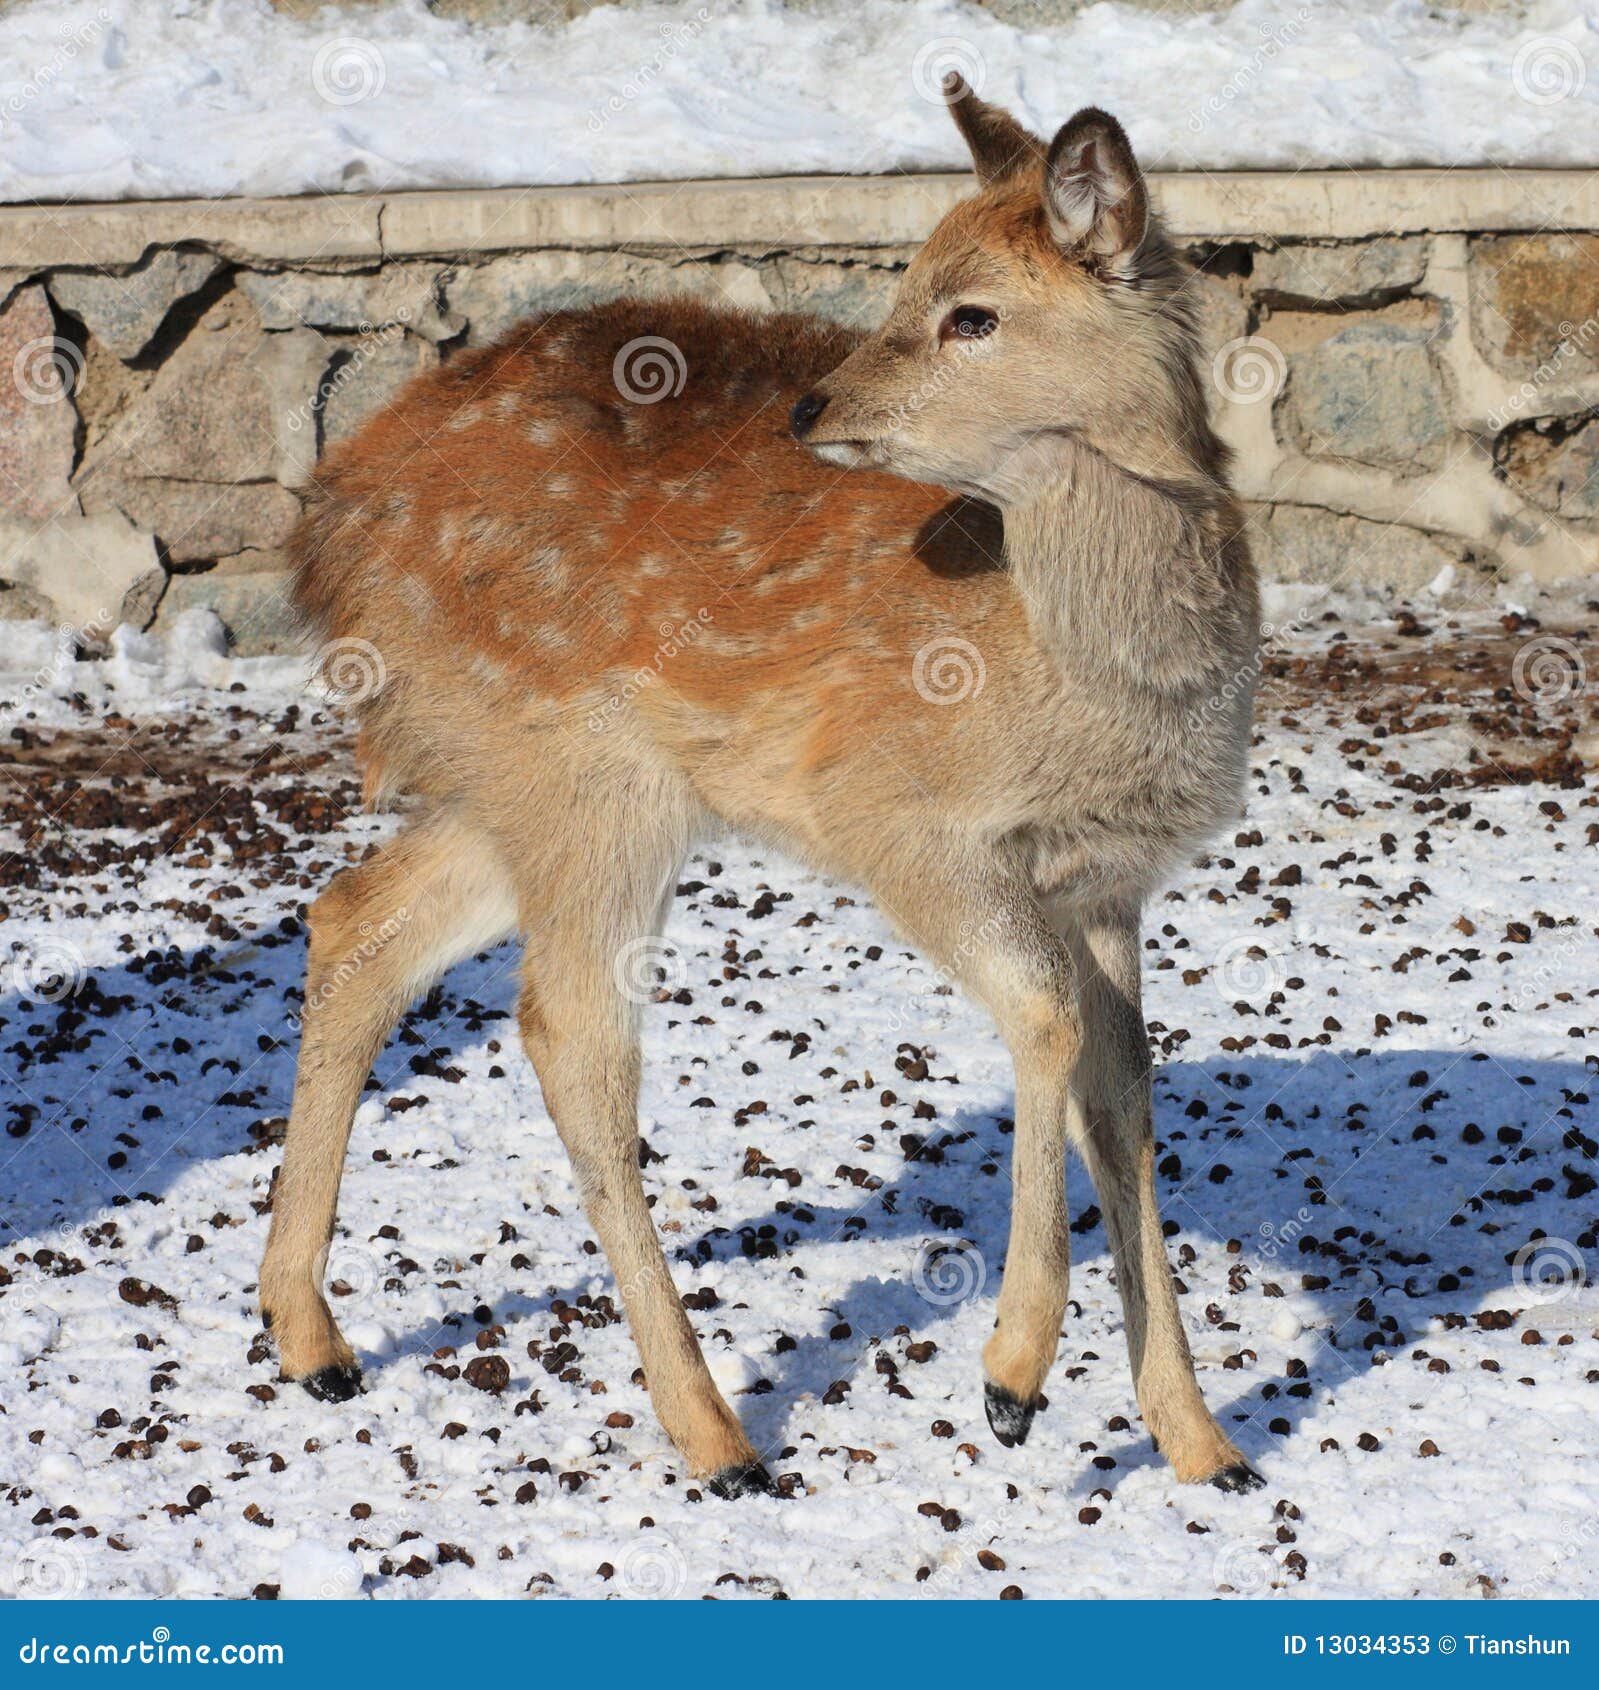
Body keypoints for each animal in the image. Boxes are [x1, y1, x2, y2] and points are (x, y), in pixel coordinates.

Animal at [258, 79, 1264, 1499]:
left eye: (972, 312)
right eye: (908, 277)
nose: (812, 406)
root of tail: (324, 526)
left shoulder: (1112, 875)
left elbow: (1122, 1094)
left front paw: (1202, 1440)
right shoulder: (902, 821)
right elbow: (1048, 1019)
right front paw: (1011, 1380)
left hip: (512, 776)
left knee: (357, 920)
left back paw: (311, 1339)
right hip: (588, 773)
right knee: (569, 1030)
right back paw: (717, 1433)